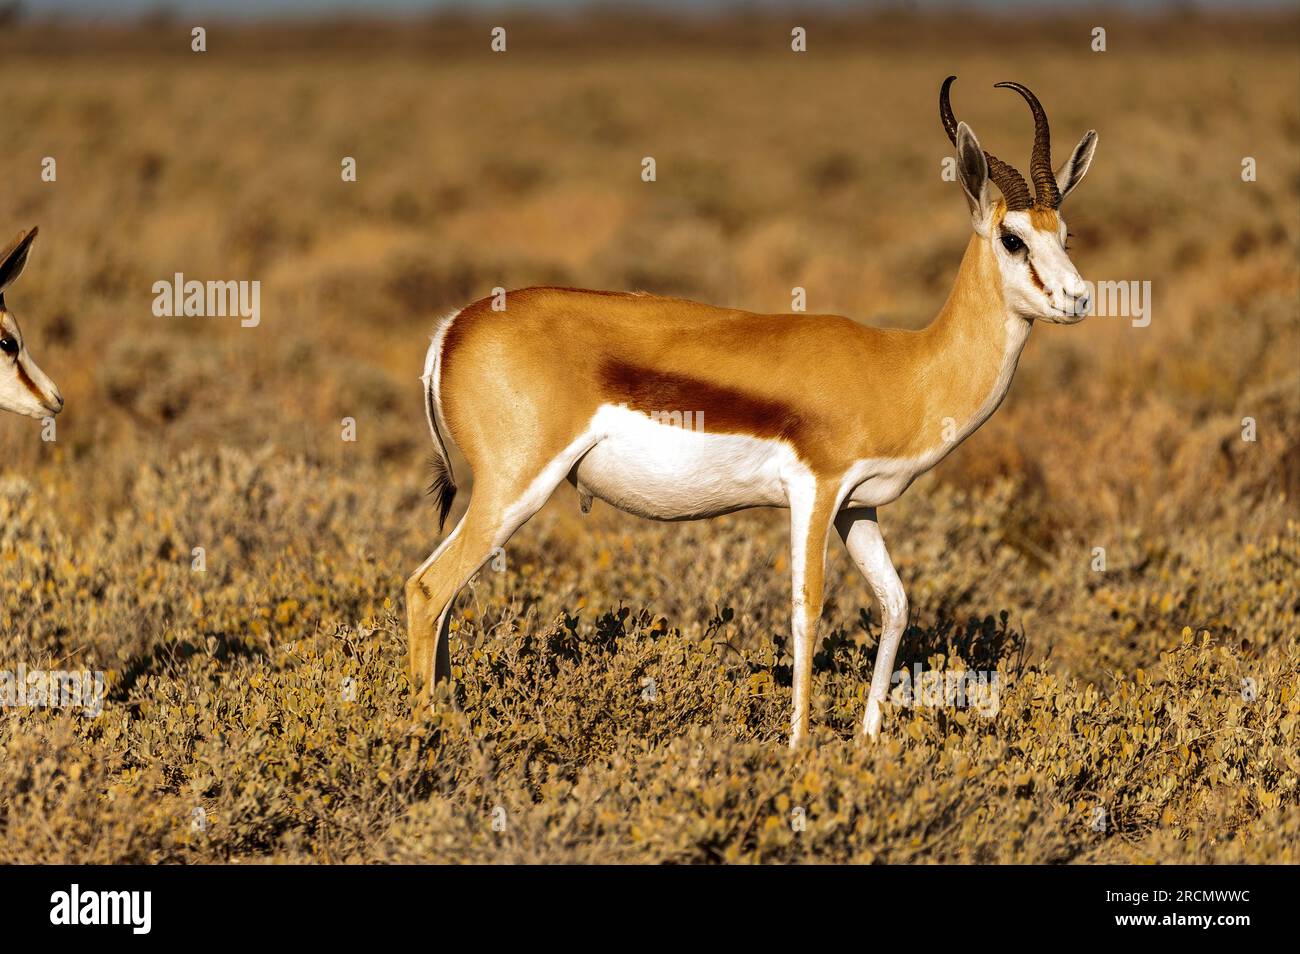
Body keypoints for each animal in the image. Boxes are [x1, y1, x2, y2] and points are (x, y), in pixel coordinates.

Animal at [406, 77, 1097, 747]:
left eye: (1066, 235)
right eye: (1013, 238)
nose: (1080, 298)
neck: (905, 367)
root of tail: (453, 327)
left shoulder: (859, 507)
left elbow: (896, 604)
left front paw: (868, 744)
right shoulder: (815, 491)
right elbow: (807, 609)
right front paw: (797, 749)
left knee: (443, 598)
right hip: (516, 485)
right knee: (428, 588)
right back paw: (422, 738)